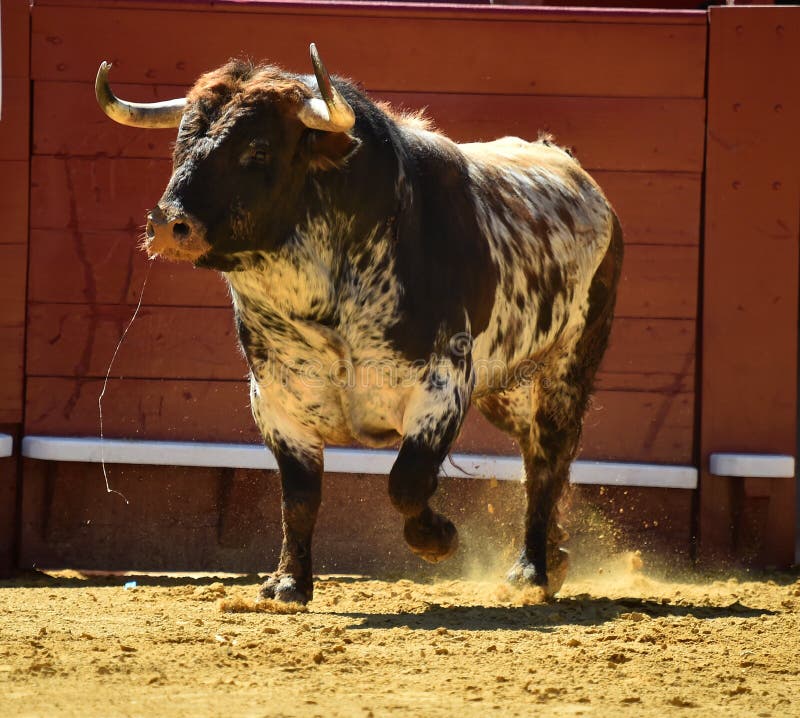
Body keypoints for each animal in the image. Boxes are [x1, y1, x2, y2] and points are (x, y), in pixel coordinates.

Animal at [95, 44, 623, 605]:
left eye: (258, 148)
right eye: (182, 138)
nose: (168, 224)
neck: (325, 300)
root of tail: (577, 175)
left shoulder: (442, 388)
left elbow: (406, 480)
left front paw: (438, 539)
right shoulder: (277, 403)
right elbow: (299, 497)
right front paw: (288, 582)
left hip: (570, 363)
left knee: (549, 453)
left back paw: (532, 571)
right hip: (507, 385)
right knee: (533, 447)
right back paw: (556, 550)